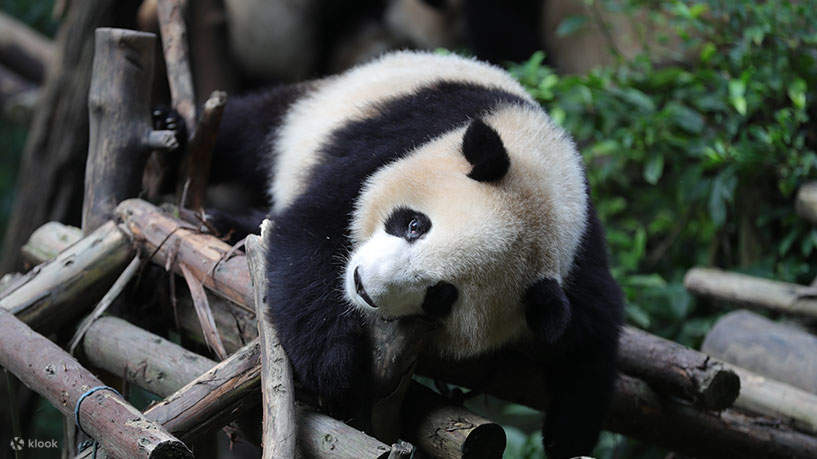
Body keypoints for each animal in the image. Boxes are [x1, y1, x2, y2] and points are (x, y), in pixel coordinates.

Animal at [207, 51, 624, 459]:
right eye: (414, 225)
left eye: (441, 296)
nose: (363, 285)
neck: (548, 177)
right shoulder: (403, 141)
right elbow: (309, 228)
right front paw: (335, 368)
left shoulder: (578, 258)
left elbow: (590, 336)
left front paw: (568, 434)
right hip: (325, 106)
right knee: (254, 127)